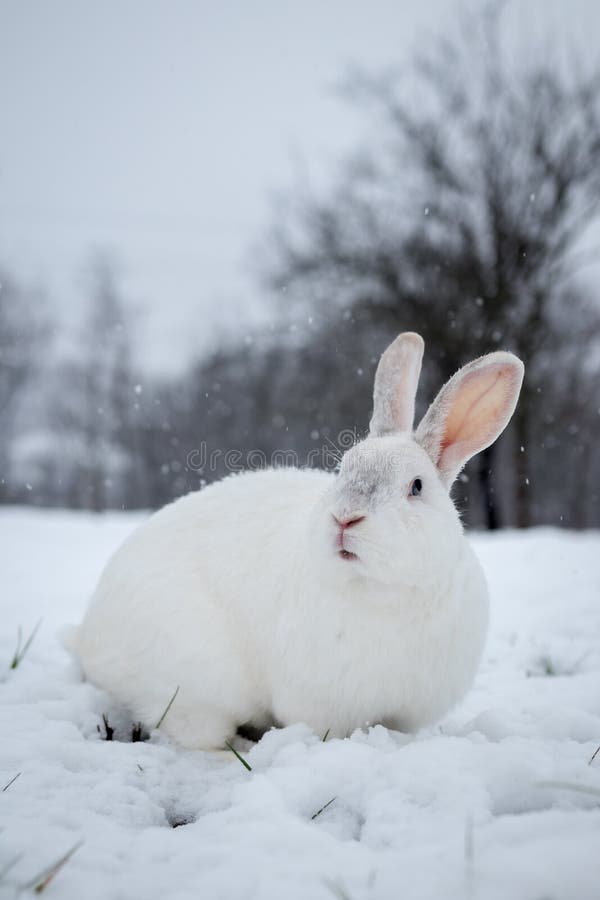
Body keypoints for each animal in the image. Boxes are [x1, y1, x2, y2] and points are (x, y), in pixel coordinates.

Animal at [67, 332, 524, 750]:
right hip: (190, 684)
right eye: (343, 469)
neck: (382, 590)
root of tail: (91, 639)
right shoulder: (322, 707)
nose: (345, 518)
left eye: (416, 486)